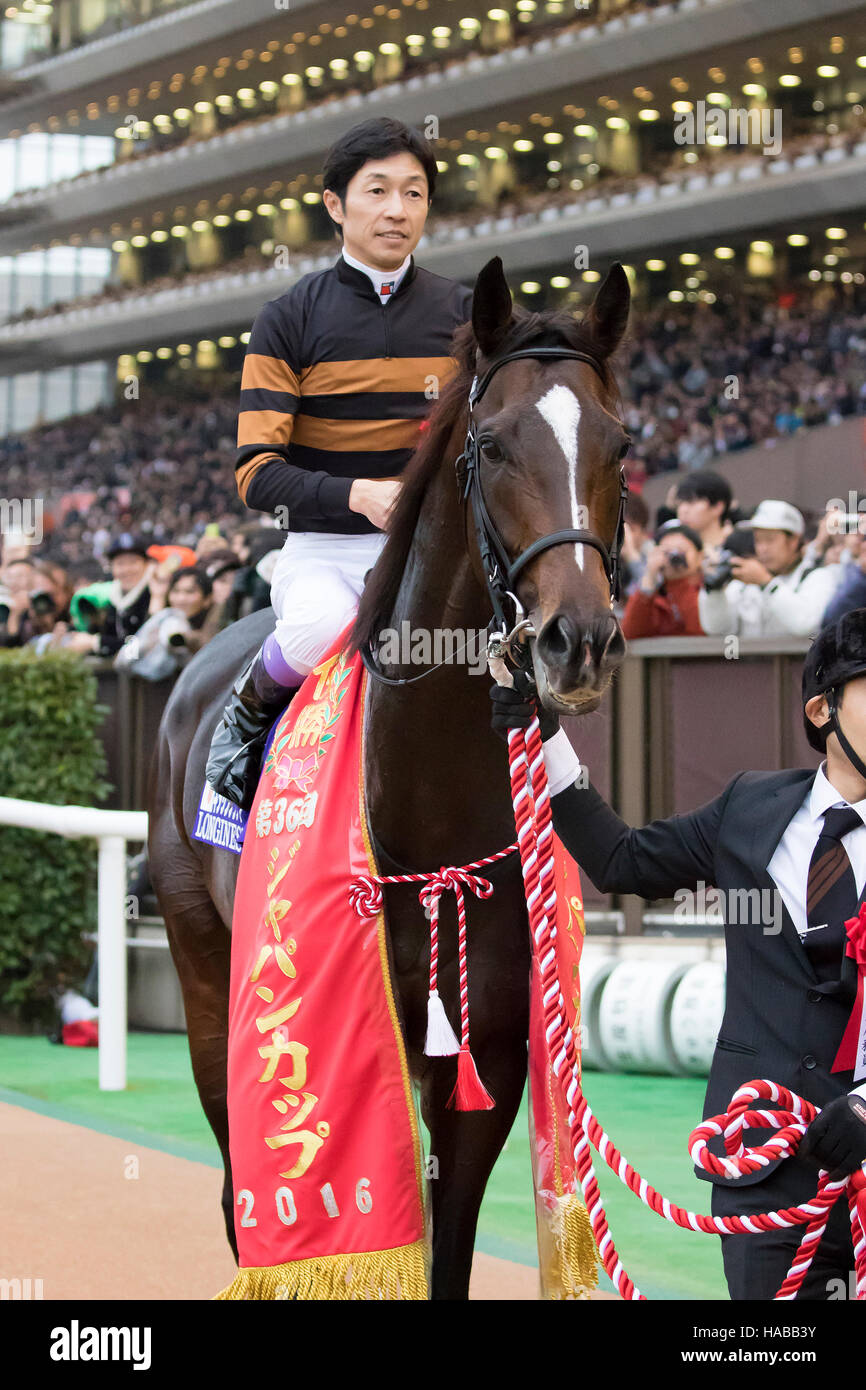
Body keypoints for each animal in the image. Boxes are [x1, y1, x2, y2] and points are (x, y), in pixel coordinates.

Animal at [148, 254, 631, 1299]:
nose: (578, 641)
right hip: (206, 977)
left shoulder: (488, 1053)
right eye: (490, 445)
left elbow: (447, 1251)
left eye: (621, 442)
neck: (429, 797)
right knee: (237, 1196)